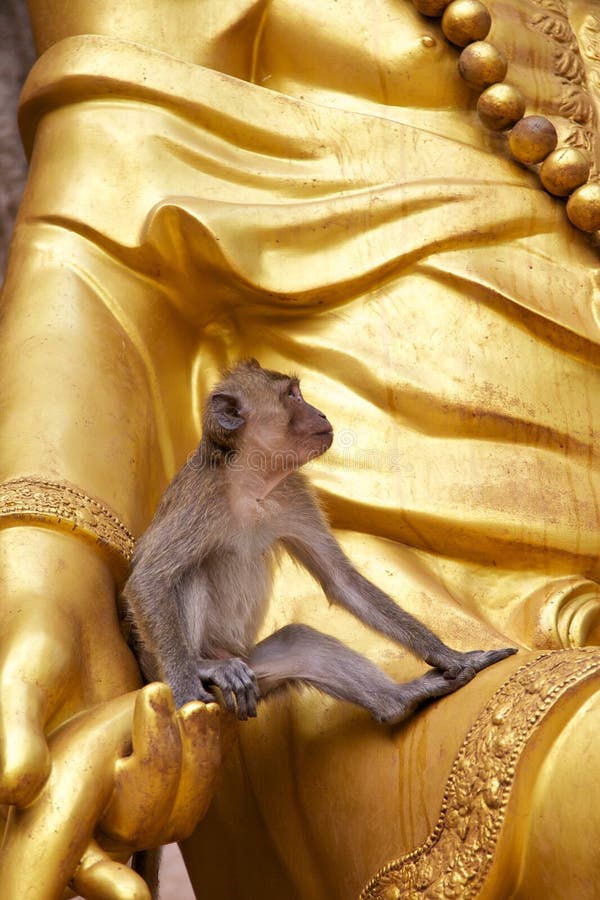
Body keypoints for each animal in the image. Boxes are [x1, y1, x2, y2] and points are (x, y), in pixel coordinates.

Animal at [123, 359, 517, 724]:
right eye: (291, 396)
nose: (321, 411)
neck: (250, 481)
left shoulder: (293, 494)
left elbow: (341, 581)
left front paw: (449, 656)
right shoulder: (202, 499)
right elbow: (148, 579)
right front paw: (186, 689)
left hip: (256, 670)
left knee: (299, 641)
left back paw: (400, 700)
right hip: (164, 664)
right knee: (187, 572)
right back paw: (203, 667)